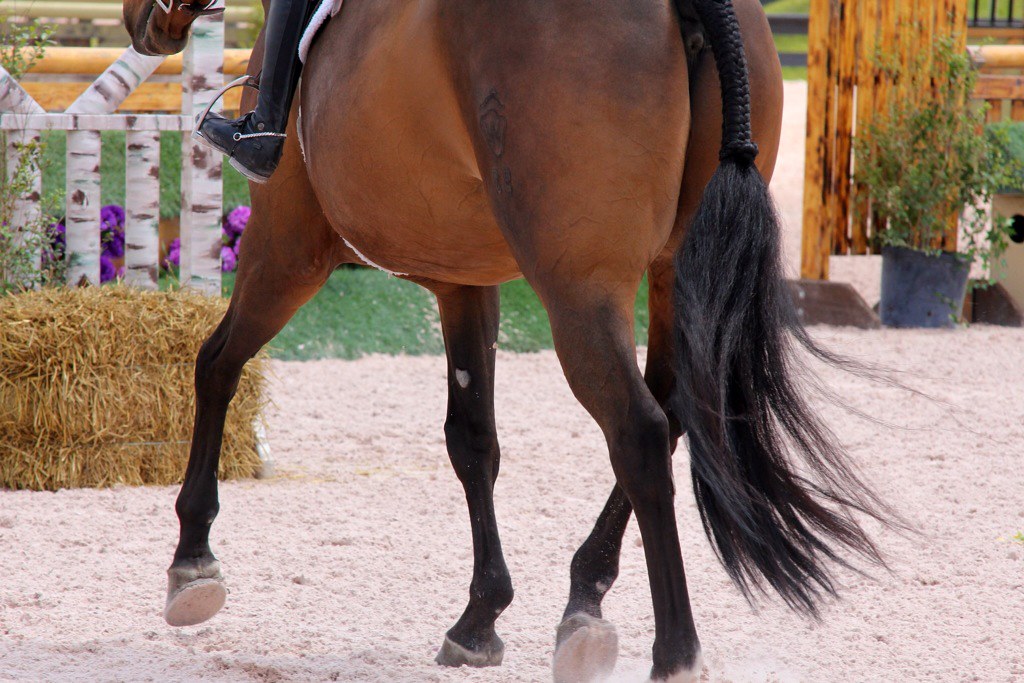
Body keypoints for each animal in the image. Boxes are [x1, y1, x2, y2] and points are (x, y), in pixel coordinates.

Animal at [121, 0, 888, 679]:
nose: (143, 23)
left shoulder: (287, 245)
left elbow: (216, 364)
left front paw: (191, 559)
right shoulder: (465, 280)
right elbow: (474, 440)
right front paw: (480, 618)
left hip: (576, 287)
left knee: (637, 430)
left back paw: (674, 654)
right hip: (672, 274)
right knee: (670, 415)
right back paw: (584, 603)